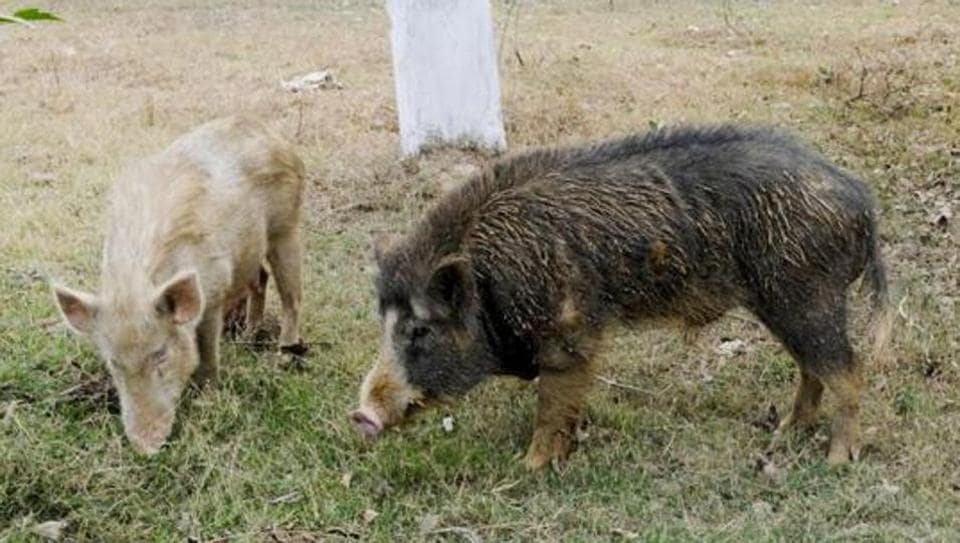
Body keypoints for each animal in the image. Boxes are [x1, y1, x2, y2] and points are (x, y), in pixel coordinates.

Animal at [52, 116, 305, 454]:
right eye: (114, 363)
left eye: (160, 354)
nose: (146, 448)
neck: (135, 286)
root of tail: (272, 132)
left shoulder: (212, 296)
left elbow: (207, 351)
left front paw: (208, 396)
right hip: (251, 249)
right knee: (261, 278)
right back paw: (247, 338)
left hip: (287, 227)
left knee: (293, 296)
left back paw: (284, 358)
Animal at [352, 125, 890, 469]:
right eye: (383, 323)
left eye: (419, 329)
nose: (361, 415)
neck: (488, 281)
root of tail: (860, 201)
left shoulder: (569, 335)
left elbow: (551, 407)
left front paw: (527, 469)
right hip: (788, 303)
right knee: (812, 368)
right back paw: (785, 432)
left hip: (809, 296)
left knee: (848, 369)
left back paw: (836, 461)